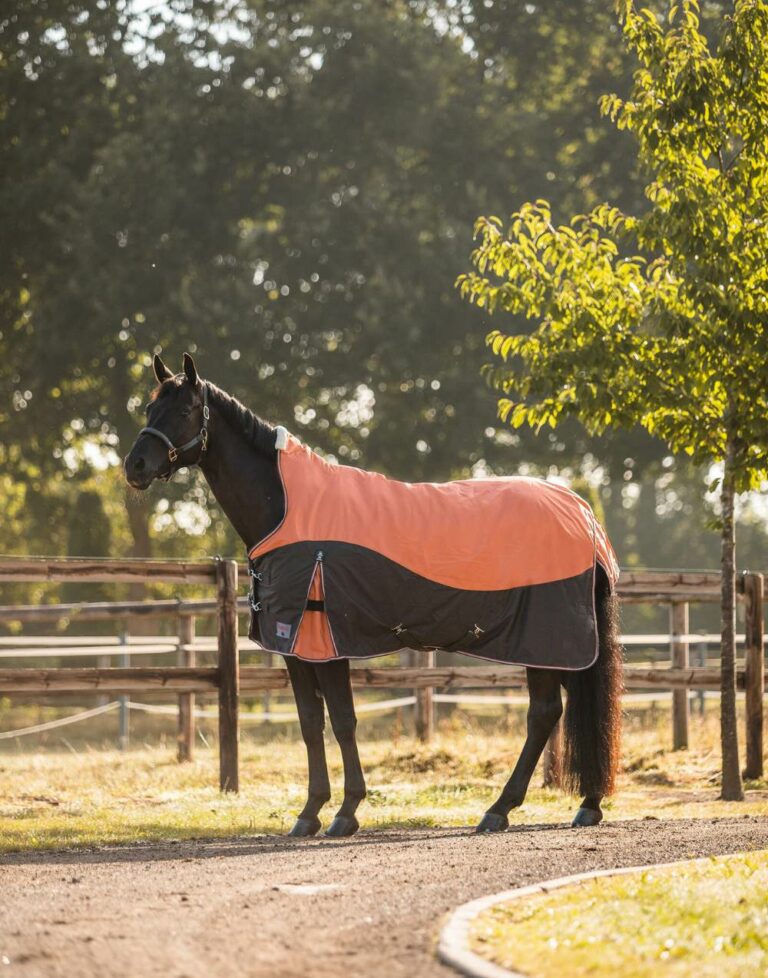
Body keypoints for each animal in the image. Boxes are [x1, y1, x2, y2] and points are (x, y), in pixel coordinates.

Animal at [124, 353, 622, 838]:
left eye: (185, 410)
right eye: (149, 408)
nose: (135, 467)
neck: (289, 510)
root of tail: (582, 514)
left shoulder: (326, 644)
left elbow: (343, 722)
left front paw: (345, 812)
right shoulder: (294, 648)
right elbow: (311, 723)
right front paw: (309, 813)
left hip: (546, 641)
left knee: (543, 713)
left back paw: (505, 809)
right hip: (552, 646)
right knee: (561, 711)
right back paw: (580, 804)